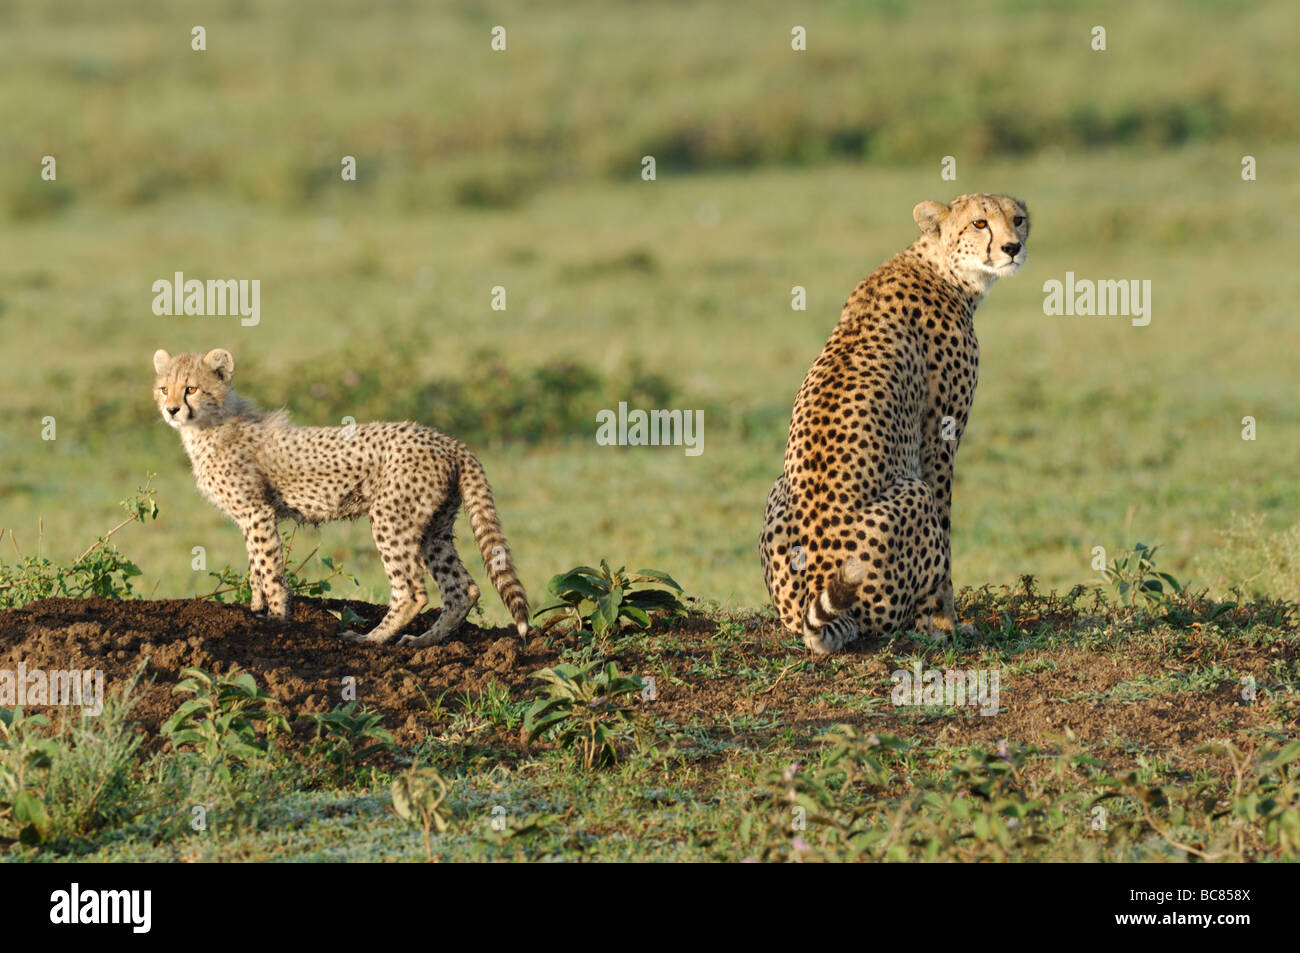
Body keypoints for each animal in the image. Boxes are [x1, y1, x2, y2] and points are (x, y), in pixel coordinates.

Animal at [152, 347, 531, 647]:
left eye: (191, 389)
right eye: (164, 389)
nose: (171, 410)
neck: (209, 426)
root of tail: (445, 439)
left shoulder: (256, 512)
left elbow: (267, 565)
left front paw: (276, 619)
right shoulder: (252, 516)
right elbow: (255, 565)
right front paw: (256, 609)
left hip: (390, 518)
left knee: (412, 591)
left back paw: (370, 639)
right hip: (433, 528)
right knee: (462, 589)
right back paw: (422, 642)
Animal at [760, 193, 1029, 654]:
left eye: (1019, 219)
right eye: (979, 223)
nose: (1012, 247)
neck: (942, 267)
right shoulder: (938, 440)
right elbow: (947, 536)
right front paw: (949, 621)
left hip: (778, 491)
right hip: (913, 492)